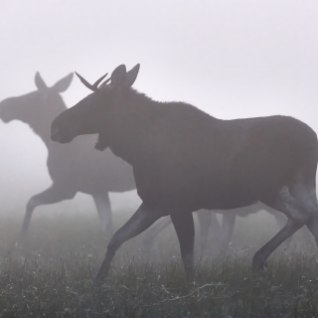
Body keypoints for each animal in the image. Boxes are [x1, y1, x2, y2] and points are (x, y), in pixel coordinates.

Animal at [49, 62, 318, 280]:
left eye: (94, 102)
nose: (56, 125)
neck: (135, 148)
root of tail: (311, 139)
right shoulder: (154, 203)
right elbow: (117, 237)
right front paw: (98, 282)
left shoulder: (178, 205)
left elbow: (187, 258)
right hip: (300, 184)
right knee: (311, 216)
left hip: (269, 188)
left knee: (300, 215)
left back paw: (259, 259)